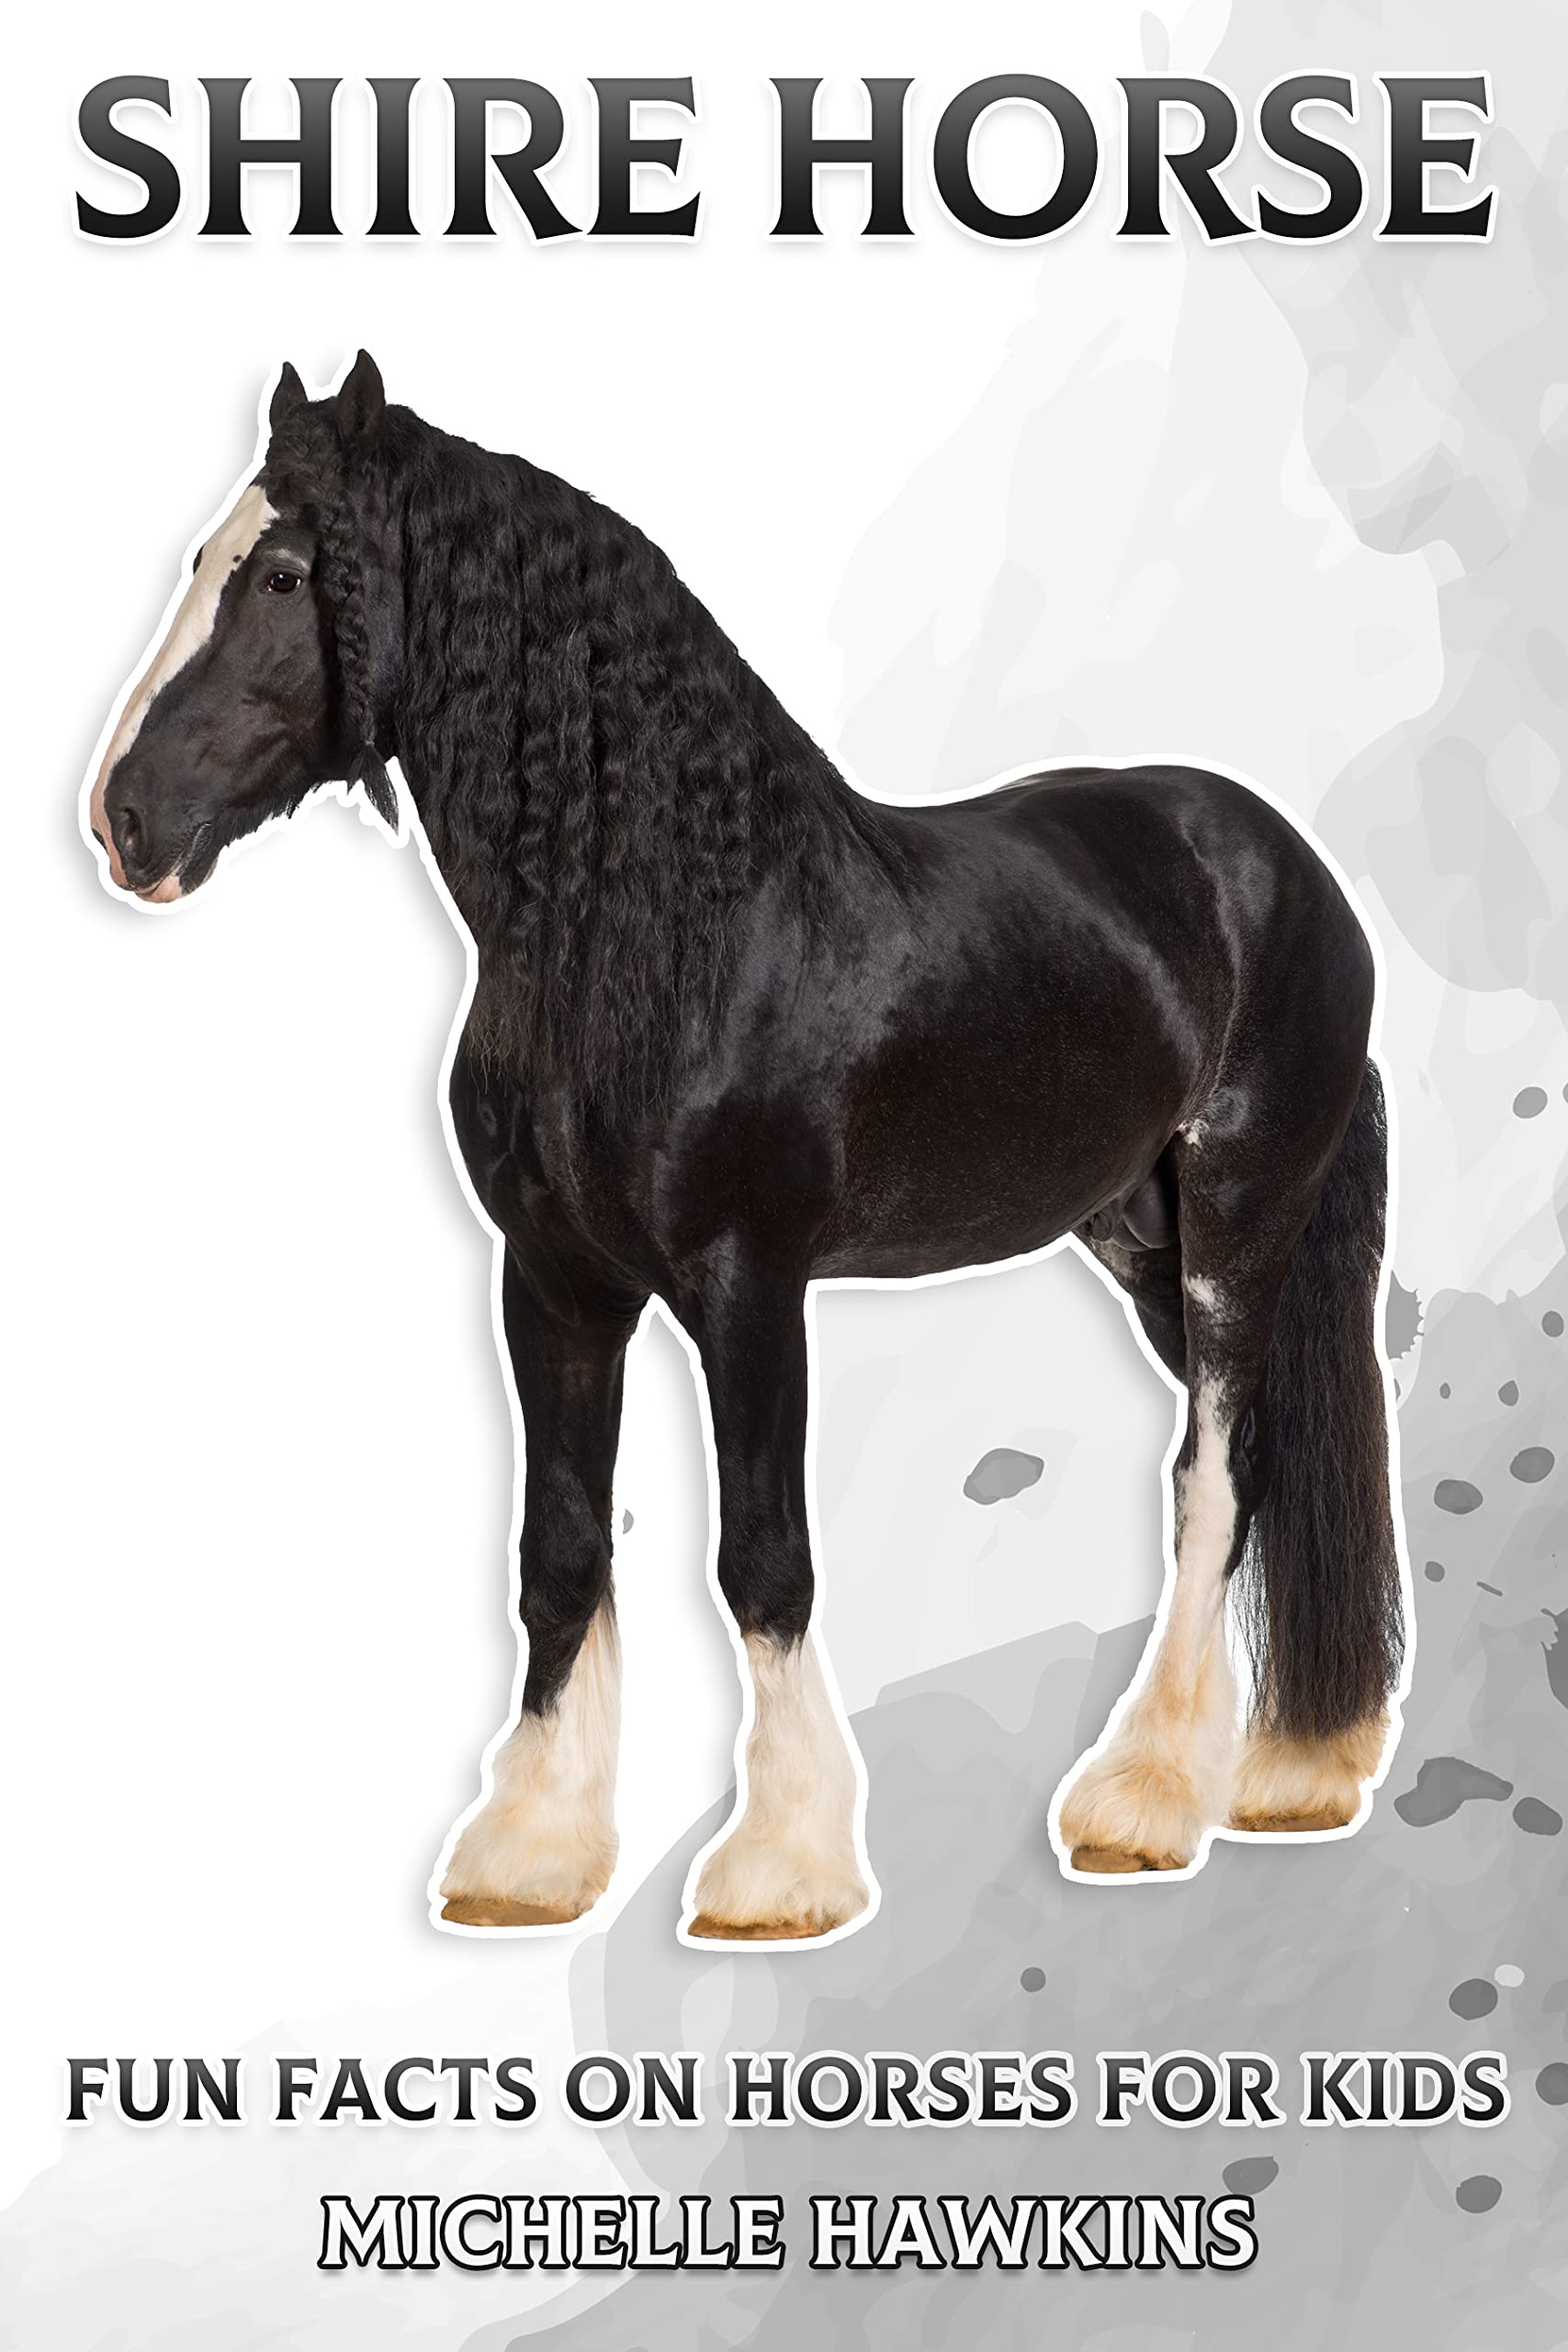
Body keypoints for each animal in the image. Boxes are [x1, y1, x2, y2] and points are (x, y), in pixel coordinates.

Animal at [84, 352, 1404, 1945]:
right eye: (202, 564)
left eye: (282, 574)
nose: (123, 818)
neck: (669, 932)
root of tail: (1282, 864)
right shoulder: (554, 1284)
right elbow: (560, 1551)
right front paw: (528, 1856)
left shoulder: (748, 1286)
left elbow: (762, 1558)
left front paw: (779, 1868)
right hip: (1140, 1243)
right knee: (1266, 1462)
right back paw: (1291, 1775)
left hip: (1235, 1224)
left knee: (1214, 1481)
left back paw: (1141, 1802)